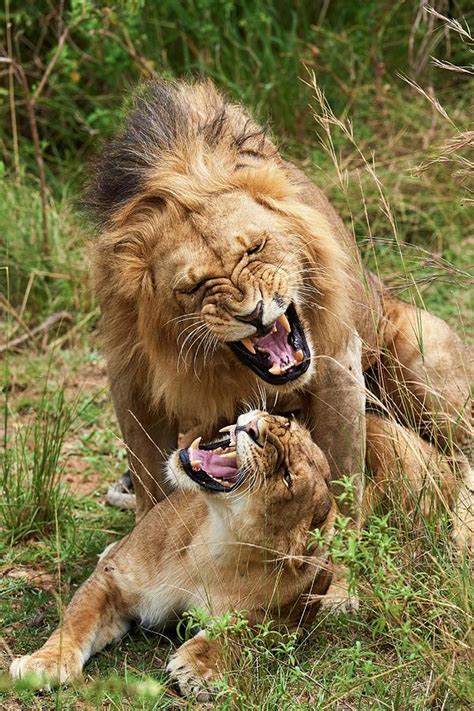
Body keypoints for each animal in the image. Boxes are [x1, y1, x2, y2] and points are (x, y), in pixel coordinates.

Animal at [10, 411, 472, 700]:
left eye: (286, 477)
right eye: (283, 422)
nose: (257, 430)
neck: (213, 543)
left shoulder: (285, 621)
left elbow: (237, 632)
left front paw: (197, 668)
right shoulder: (114, 580)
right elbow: (75, 621)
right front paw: (42, 664)